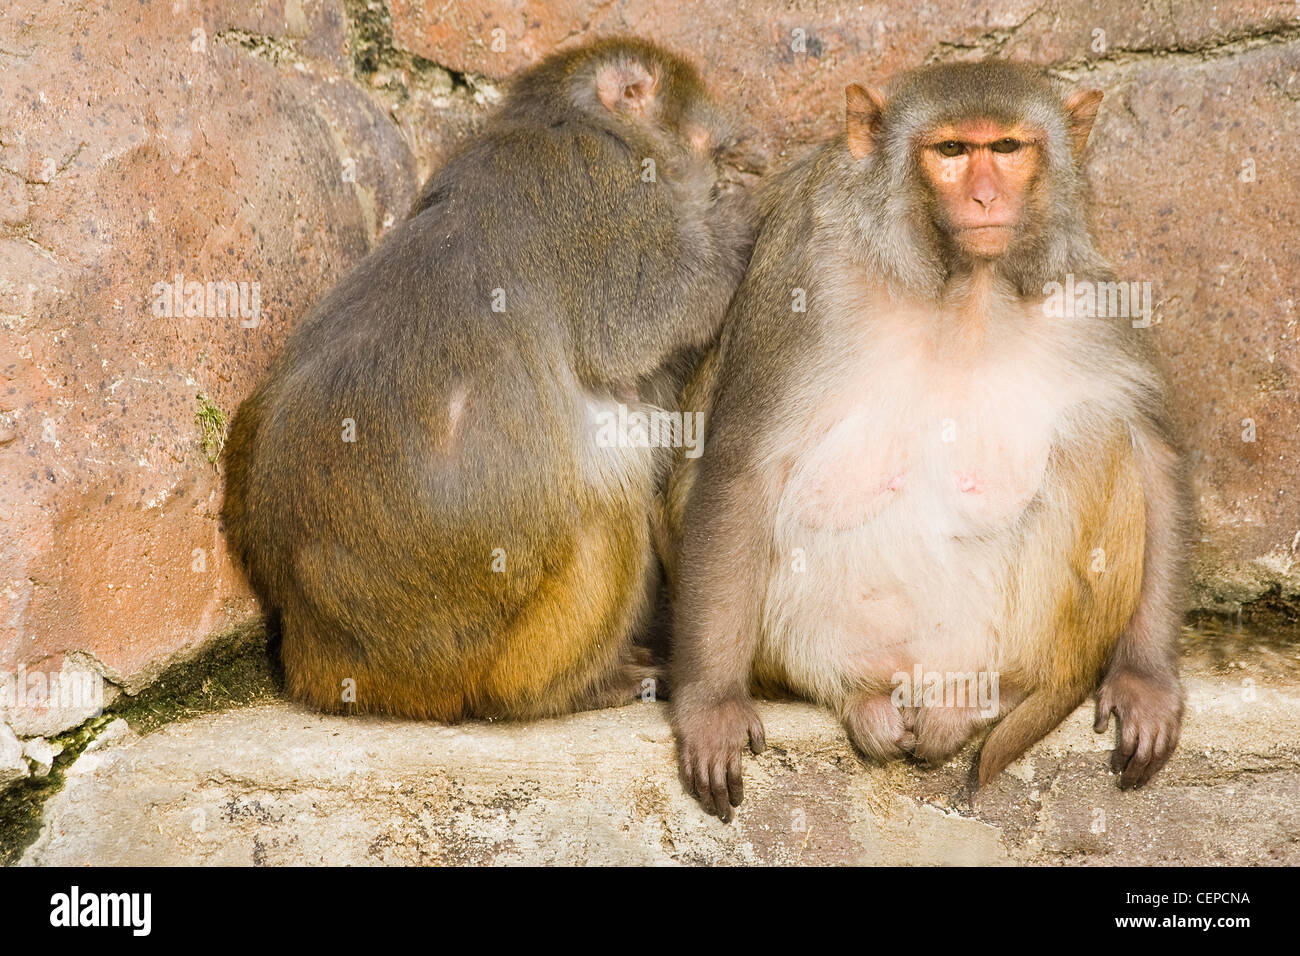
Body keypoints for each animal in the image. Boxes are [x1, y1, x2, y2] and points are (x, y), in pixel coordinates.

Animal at [221, 37, 753, 722]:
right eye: (712, 153)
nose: (718, 182)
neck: (565, 118)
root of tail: (322, 649)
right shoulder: (609, 193)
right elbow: (641, 321)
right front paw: (735, 230)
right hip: (500, 643)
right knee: (607, 497)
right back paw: (570, 688)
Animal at [665, 60, 1190, 821]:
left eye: (1007, 148)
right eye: (950, 151)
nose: (984, 195)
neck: (963, 289)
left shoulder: (1085, 292)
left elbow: (1155, 454)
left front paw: (1146, 677)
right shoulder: (812, 285)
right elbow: (741, 470)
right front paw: (710, 705)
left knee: (1099, 435)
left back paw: (1009, 691)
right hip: (802, 648)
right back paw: (858, 699)